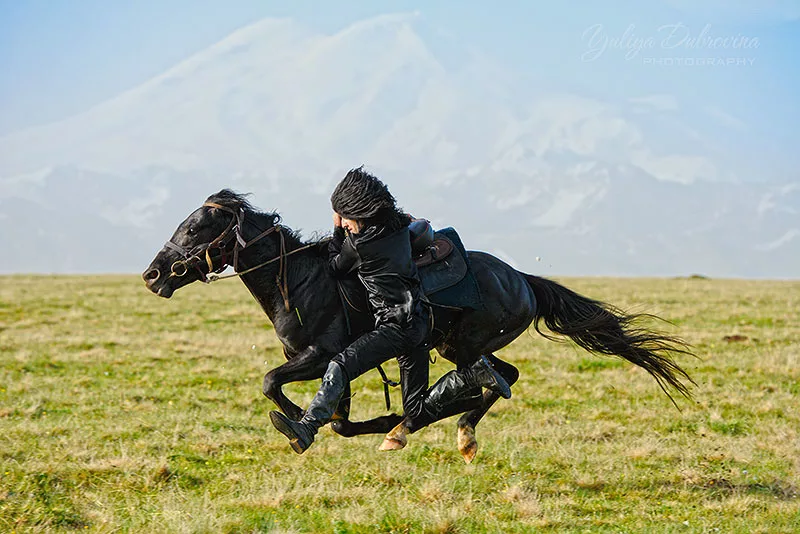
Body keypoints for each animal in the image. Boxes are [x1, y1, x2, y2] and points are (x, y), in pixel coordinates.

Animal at [142, 191, 692, 462]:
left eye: (195, 227)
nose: (152, 275)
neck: (298, 279)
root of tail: (524, 280)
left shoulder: (323, 355)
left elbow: (271, 384)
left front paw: (298, 424)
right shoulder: (326, 361)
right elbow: (338, 419)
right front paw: (343, 422)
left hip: (464, 344)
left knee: (489, 379)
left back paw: (427, 425)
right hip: (454, 345)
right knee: (500, 378)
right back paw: (439, 427)